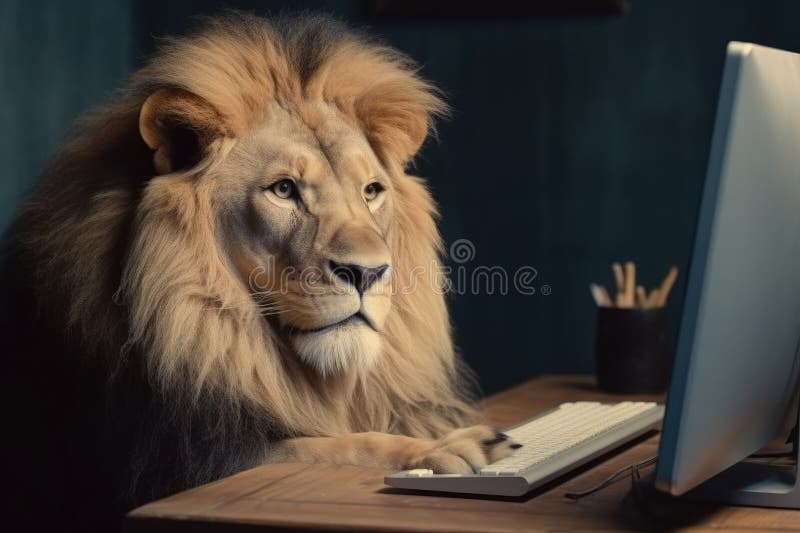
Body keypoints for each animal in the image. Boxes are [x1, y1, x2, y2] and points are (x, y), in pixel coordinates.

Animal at [1, 12, 518, 531]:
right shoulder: (181, 462)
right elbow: (331, 446)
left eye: (372, 191)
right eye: (284, 189)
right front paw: (448, 446)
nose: (368, 273)